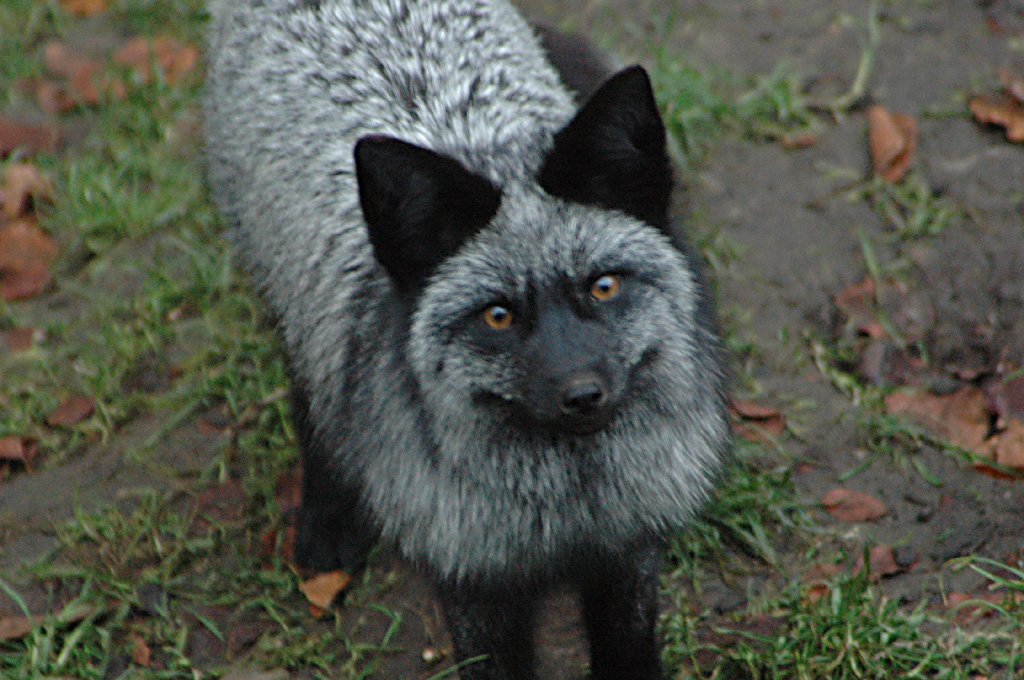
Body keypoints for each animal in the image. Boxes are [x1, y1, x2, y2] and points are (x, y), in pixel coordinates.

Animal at [202, 0, 729, 678]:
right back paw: (325, 526)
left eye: (604, 286)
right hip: (288, 299)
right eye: (497, 316)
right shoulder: (473, 581)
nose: (582, 395)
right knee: (311, 395)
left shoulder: (628, 554)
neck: (571, 510)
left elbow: (629, 649)